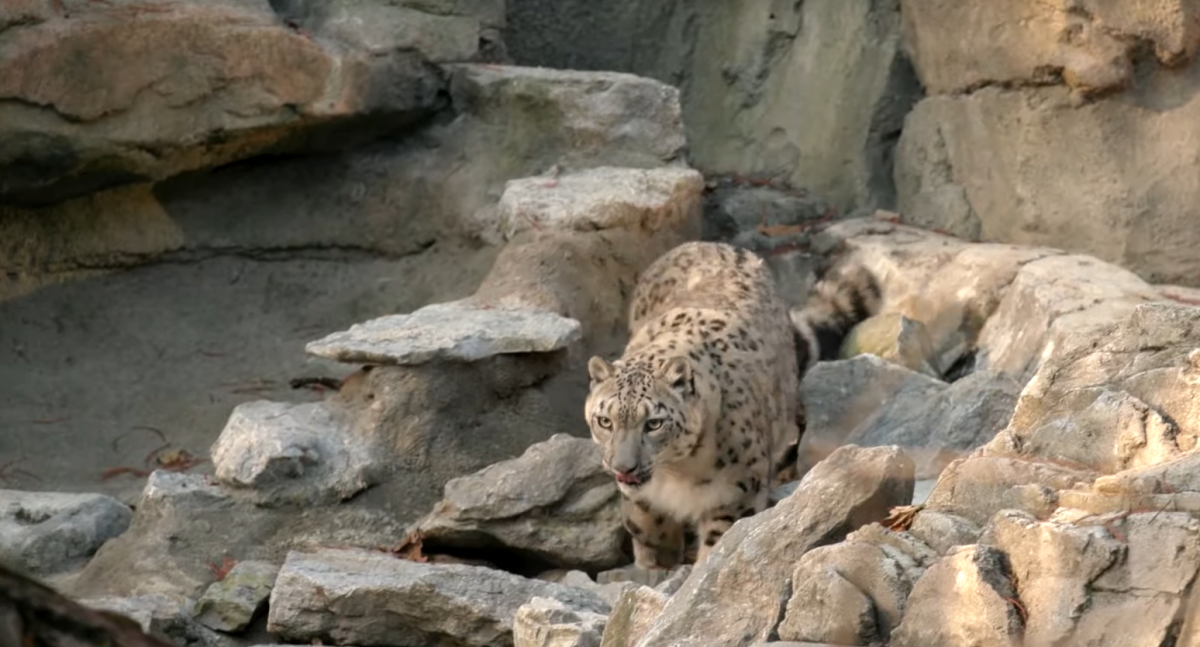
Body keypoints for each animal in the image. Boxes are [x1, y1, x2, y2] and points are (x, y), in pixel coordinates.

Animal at [584, 240, 882, 569]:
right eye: (605, 421)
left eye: (654, 423)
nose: (623, 467)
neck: (675, 472)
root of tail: (707, 243)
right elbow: (644, 518)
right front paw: (658, 560)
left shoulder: (735, 491)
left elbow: (720, 540)